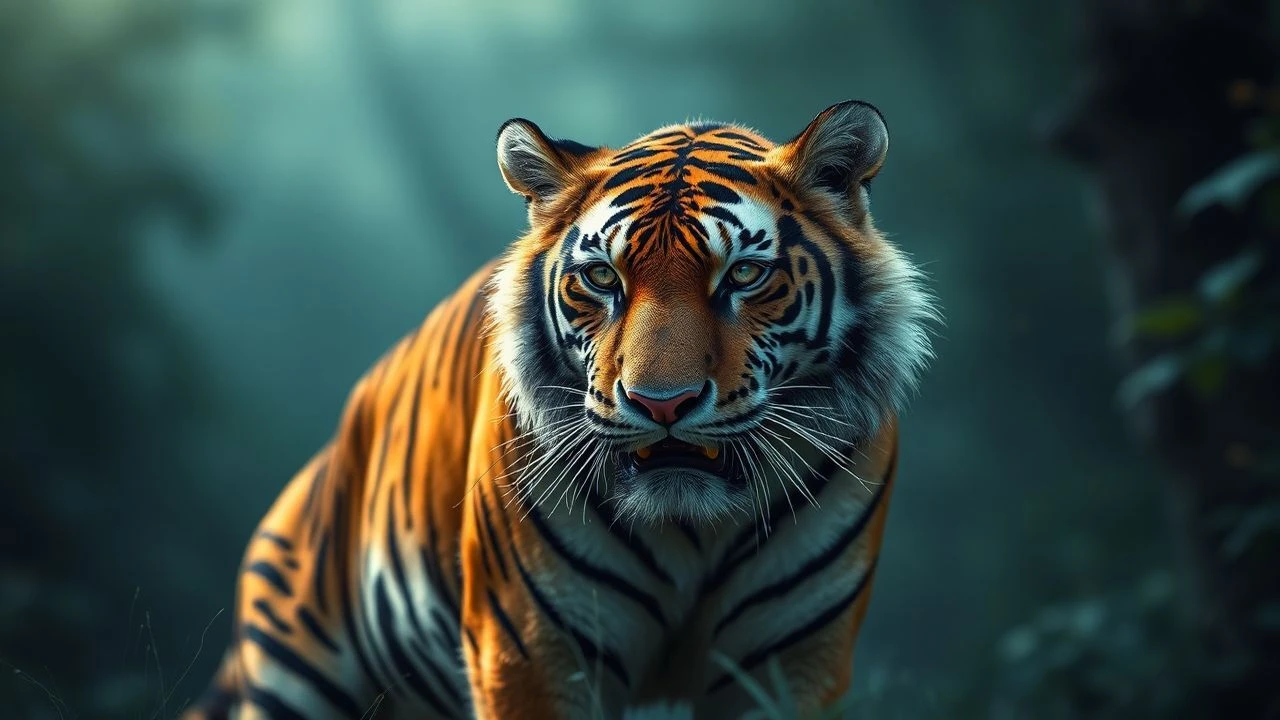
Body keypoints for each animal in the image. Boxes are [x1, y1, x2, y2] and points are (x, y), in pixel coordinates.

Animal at [184, 99, 935, 720]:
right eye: (602, 278)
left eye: (745, 275)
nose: (662, 403)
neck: (692, 529)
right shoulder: (529, 652)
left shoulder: (791, 664)